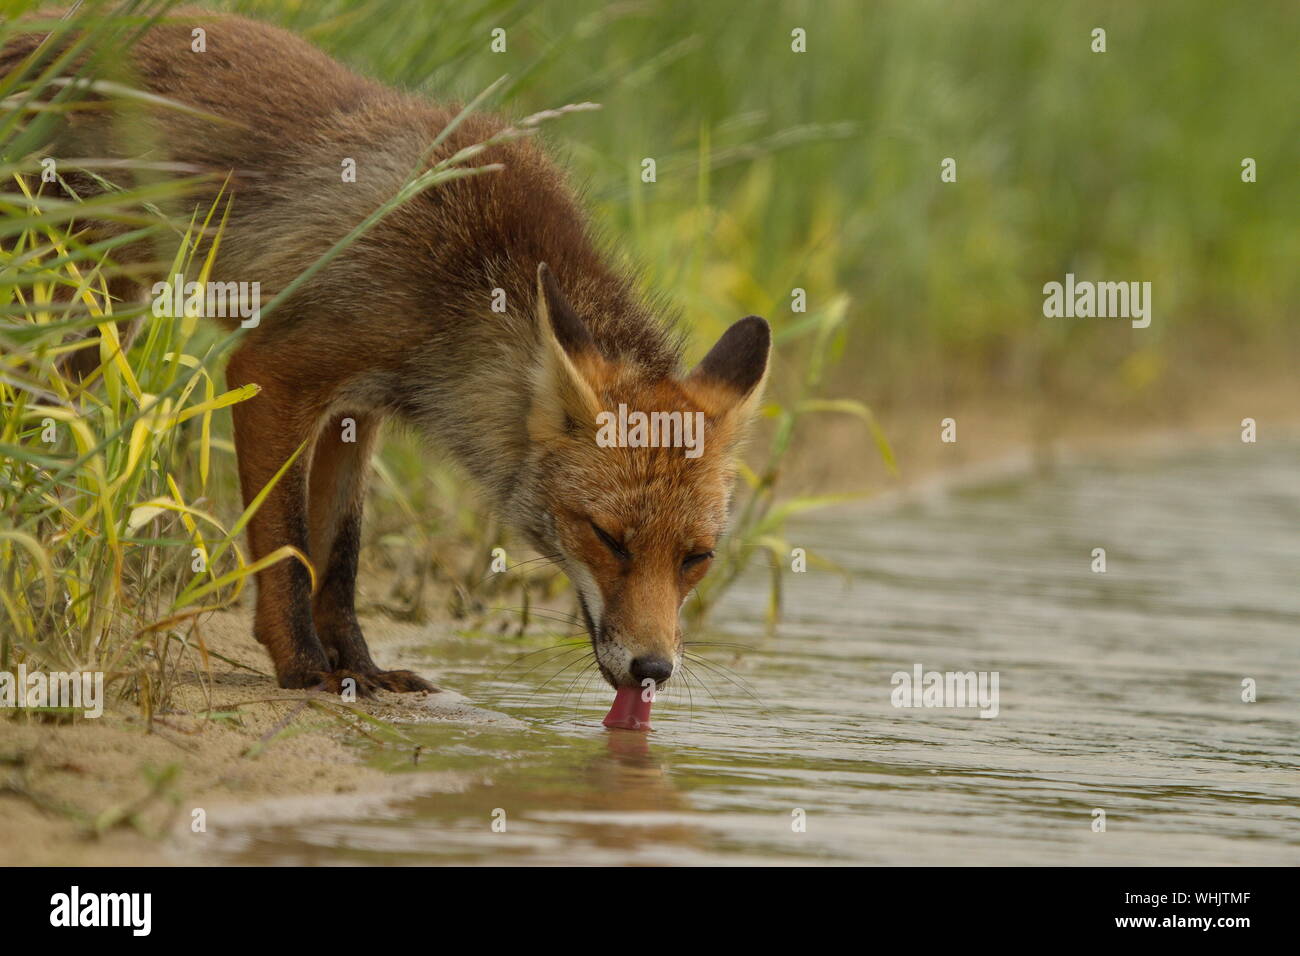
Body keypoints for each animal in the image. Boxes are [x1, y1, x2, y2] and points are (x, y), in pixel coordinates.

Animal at [3, 10, 770, 698]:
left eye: (697, 558)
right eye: (608, 539)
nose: (653, 670)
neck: (465, 282)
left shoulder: (355, 409)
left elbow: (339, 556)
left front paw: (361, 669)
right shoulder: (269, 371)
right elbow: (287, 547)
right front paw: (302, 666)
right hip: (74, 307)